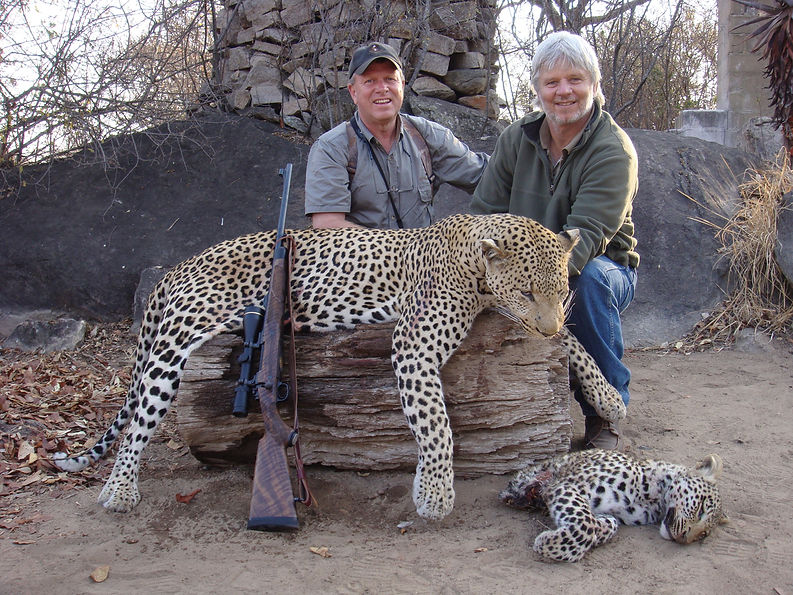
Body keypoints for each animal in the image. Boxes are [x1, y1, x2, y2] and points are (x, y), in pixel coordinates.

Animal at [53, 213, 625, 520]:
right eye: (527, 291)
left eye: (562, 290)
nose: (544, 327)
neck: (475, 264)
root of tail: (180, 264)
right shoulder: (414, 343)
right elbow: (436, 426)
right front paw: (435, 493)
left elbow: (575, 340)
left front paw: (608, 396)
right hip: (174, 342)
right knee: (141, 418)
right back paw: (119, 490)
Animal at [500, 449, 726, 562]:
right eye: (702, 508)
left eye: (703, 534)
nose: (684, 539)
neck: (654, 499)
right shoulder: (568, 485)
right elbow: (585, 525)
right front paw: (546, 543)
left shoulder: (615, 513)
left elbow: (606, 524)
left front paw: (601, 528)